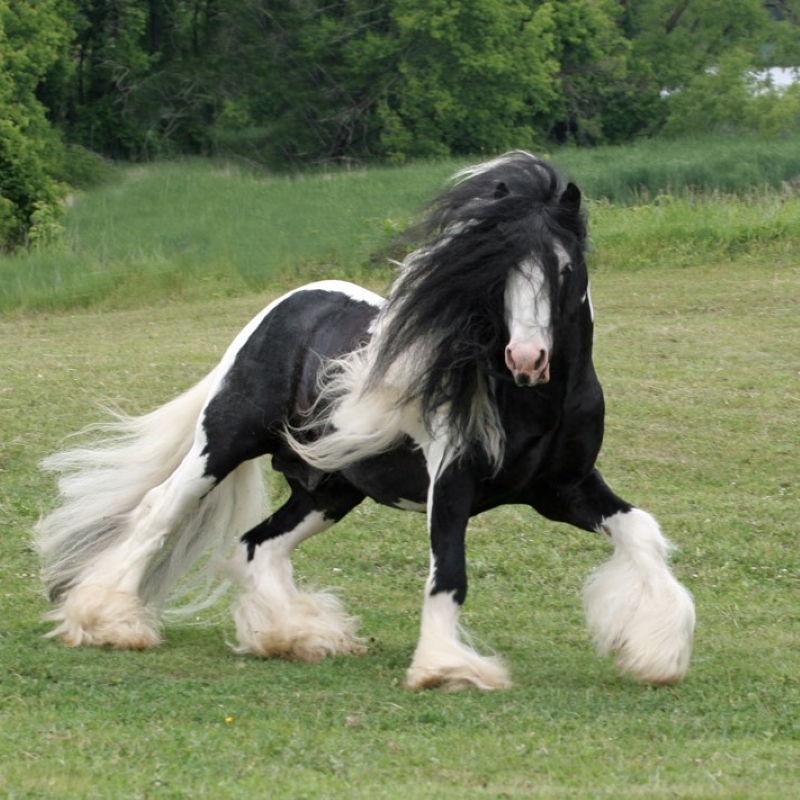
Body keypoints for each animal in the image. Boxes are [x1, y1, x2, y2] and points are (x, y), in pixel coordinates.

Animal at [35, 151, 695, 690]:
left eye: (562, 268)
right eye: (496, 271)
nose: (527, 359)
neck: (535, 404)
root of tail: (285, 307)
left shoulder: (564, 488)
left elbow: (642, 531)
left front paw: (656, 654)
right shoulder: (452, 485)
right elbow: (449, 573)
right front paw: (445, 670)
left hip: (329, 490)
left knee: (257, 546)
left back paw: (297, 636)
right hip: (222, 443)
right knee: (158, 513)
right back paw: (109, 622)